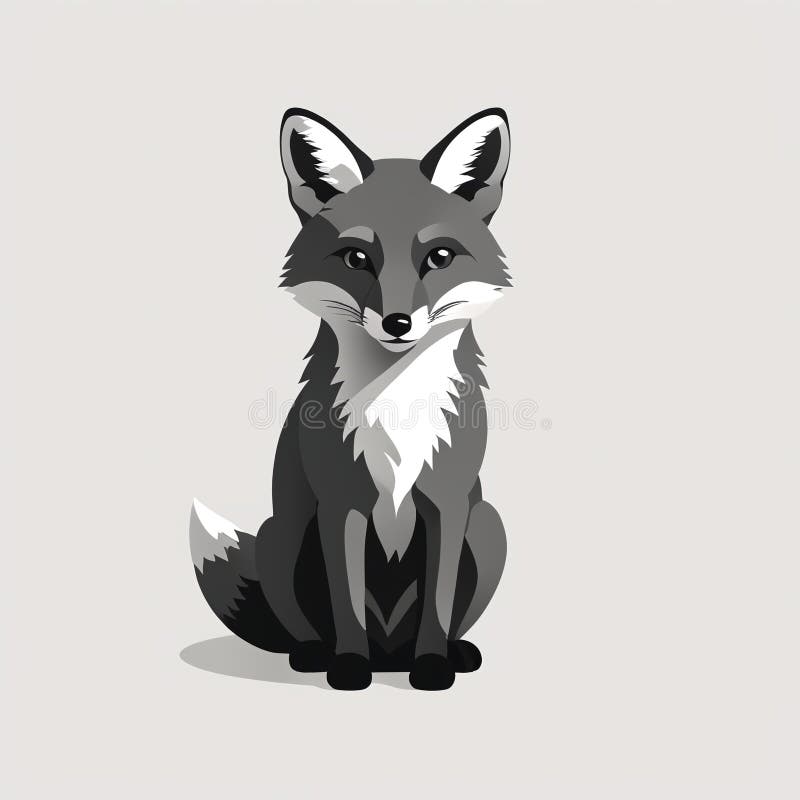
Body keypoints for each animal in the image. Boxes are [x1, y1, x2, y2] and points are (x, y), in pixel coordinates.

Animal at [190, 107, 511, 690]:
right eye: (357, 257)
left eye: (440, 257)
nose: (398, 323)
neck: (395, 405)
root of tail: (391, 650)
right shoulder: (341, 505)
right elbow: (347, 604)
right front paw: (348, 666)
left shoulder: (449, 505)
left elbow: (439, 599)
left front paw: (433, 665)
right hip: (281, 537)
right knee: (303, 625)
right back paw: (316, 654)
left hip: (490, 527)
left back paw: (452, 652)